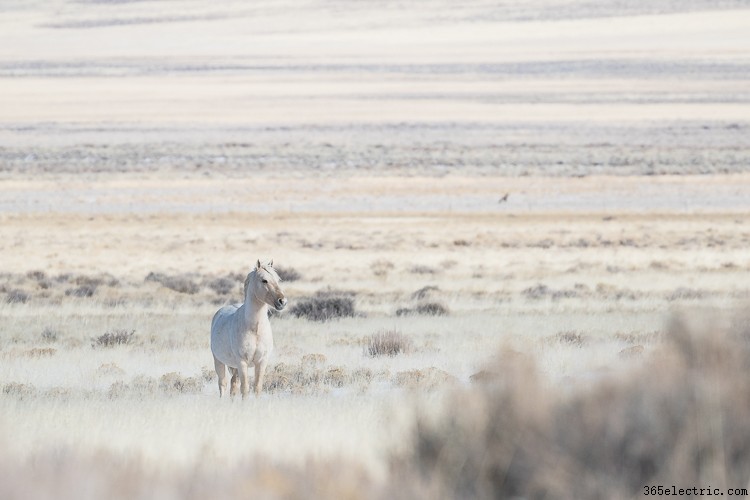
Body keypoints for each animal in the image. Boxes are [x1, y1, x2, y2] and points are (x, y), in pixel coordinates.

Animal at [212, 260, 288, 396]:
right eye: (264, 280)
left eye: (278, 280)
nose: (282, 302)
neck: (255, 329)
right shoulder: (242, 362)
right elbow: (245, 388)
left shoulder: (262, 362)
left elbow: (257, 387)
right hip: (219, 361)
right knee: (223, 384)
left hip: (234, 366)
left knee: (233, 384)